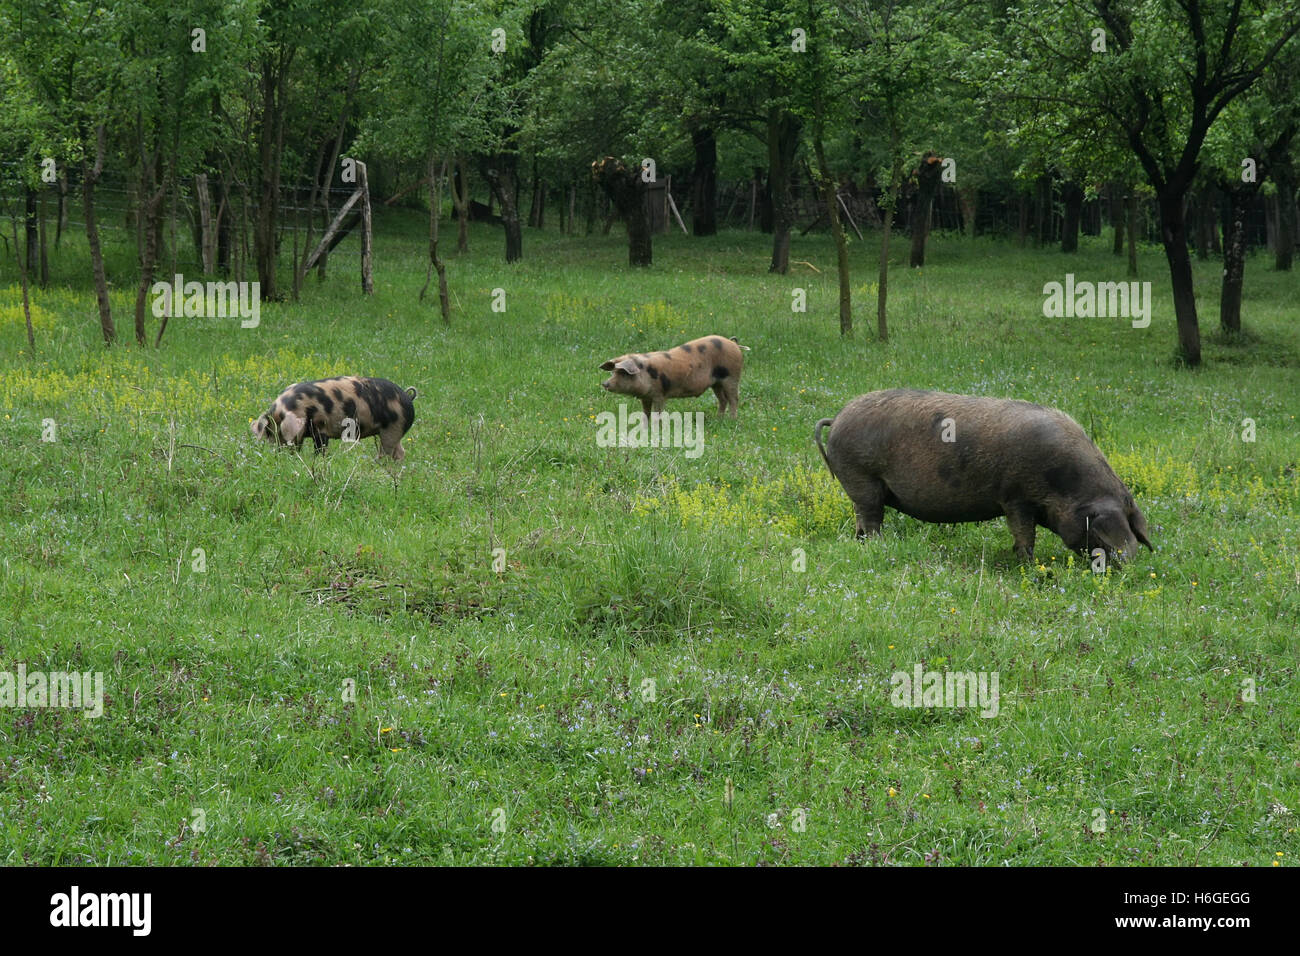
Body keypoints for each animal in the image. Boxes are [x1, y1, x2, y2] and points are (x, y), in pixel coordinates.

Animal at [251, 376, 417, 460]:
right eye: (269, 433)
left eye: (282, 433)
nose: (279, 456)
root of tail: (407, 397)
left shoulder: (321, 428)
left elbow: (320, 448)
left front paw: (318, 460)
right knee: (400, 451)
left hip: (392, 428)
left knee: (387, 451)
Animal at [599, 335, 745, 418]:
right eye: (613, 372)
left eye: (623, 373)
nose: (605, 383)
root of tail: (734, 344)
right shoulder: (646, 397)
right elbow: (645, 413)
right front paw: (645, 428)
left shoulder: (659, 395)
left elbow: (657, 413)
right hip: (716, 383)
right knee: (723, 400)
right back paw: (719, 418)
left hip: (732, 376)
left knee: (734, 398)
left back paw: (732, 420)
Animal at [814, 389, 1153, 563]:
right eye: (1097, 528)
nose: (1127, 561)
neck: (1062, 484)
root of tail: (838, 417)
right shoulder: (1015, 497)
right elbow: (1024, 534)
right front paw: (1029, 564)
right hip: (862, 479)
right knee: (870, 520)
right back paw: (878, 547)